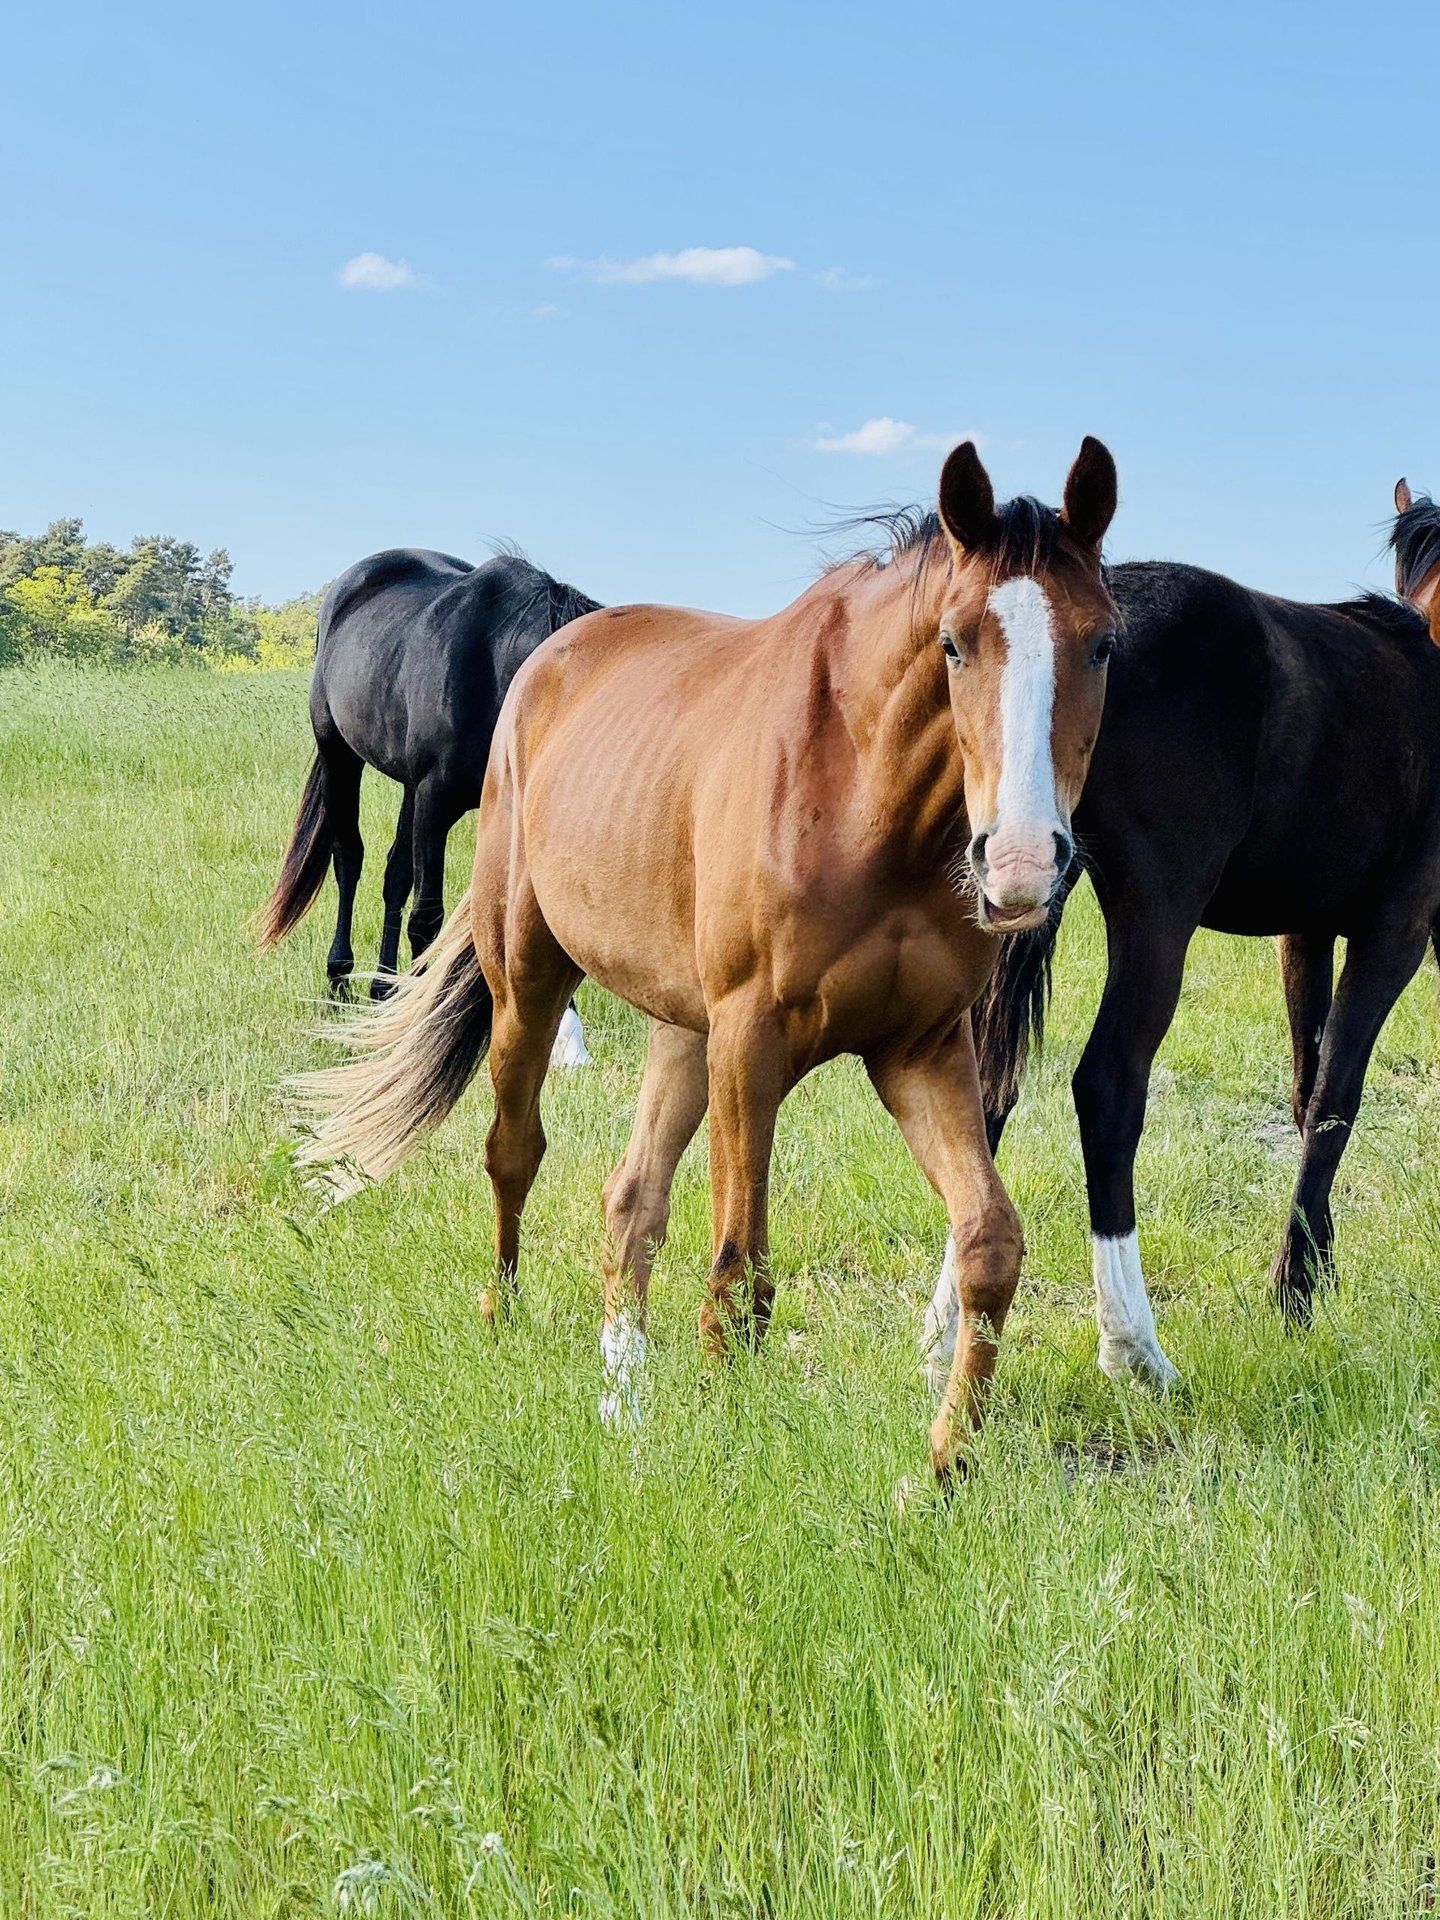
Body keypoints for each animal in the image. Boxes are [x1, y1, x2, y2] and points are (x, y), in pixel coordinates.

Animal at [257, 547, 601, 1065]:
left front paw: (566, 1039)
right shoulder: (435, 801)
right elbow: (427, 917)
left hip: (408, 791)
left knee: (394, 875)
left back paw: (384, 989)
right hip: (341, 756)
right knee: (349, 860)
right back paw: (341, 980)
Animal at [951, 481, 1440, 1395]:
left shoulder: (1306, 932)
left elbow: (1307, 1092)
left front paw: (1314, 1264)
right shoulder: (1397, 929)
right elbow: (1335, 1099)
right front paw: (1297, 1290)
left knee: (985, 1089)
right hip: (1157, 918)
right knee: (1109, 1087)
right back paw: (1132, 1347)